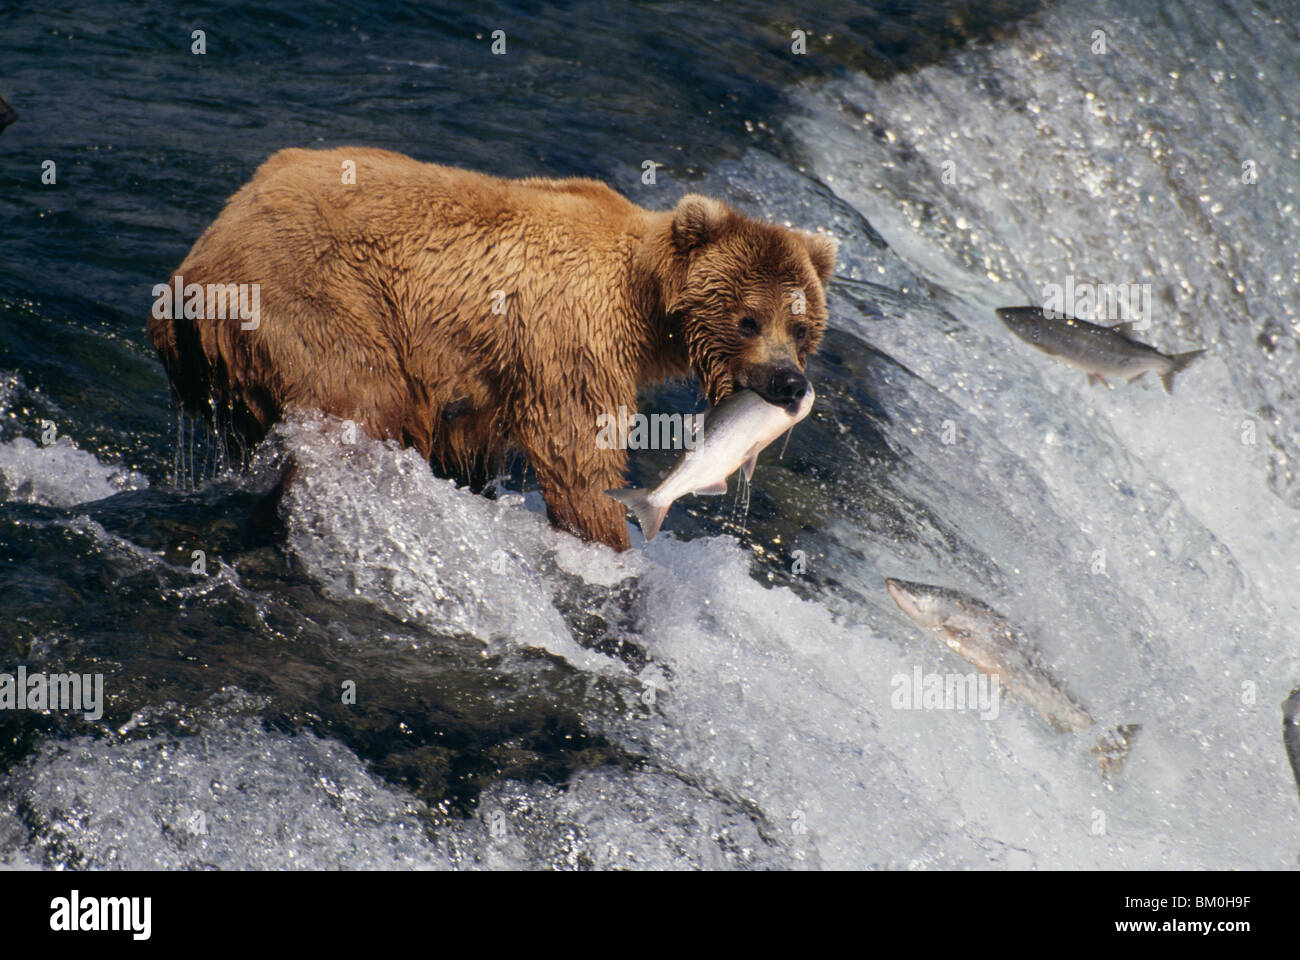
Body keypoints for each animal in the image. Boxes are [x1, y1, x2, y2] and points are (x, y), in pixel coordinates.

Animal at [148, 147, 835, 550]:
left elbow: (476, 445)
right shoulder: (571, 331)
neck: (646, 307)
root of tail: (193, 265)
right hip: (311, 294)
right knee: (361, 397)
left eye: (802, 327)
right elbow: (576, 450)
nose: (788, 384)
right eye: (748, 320)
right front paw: (607, 538)